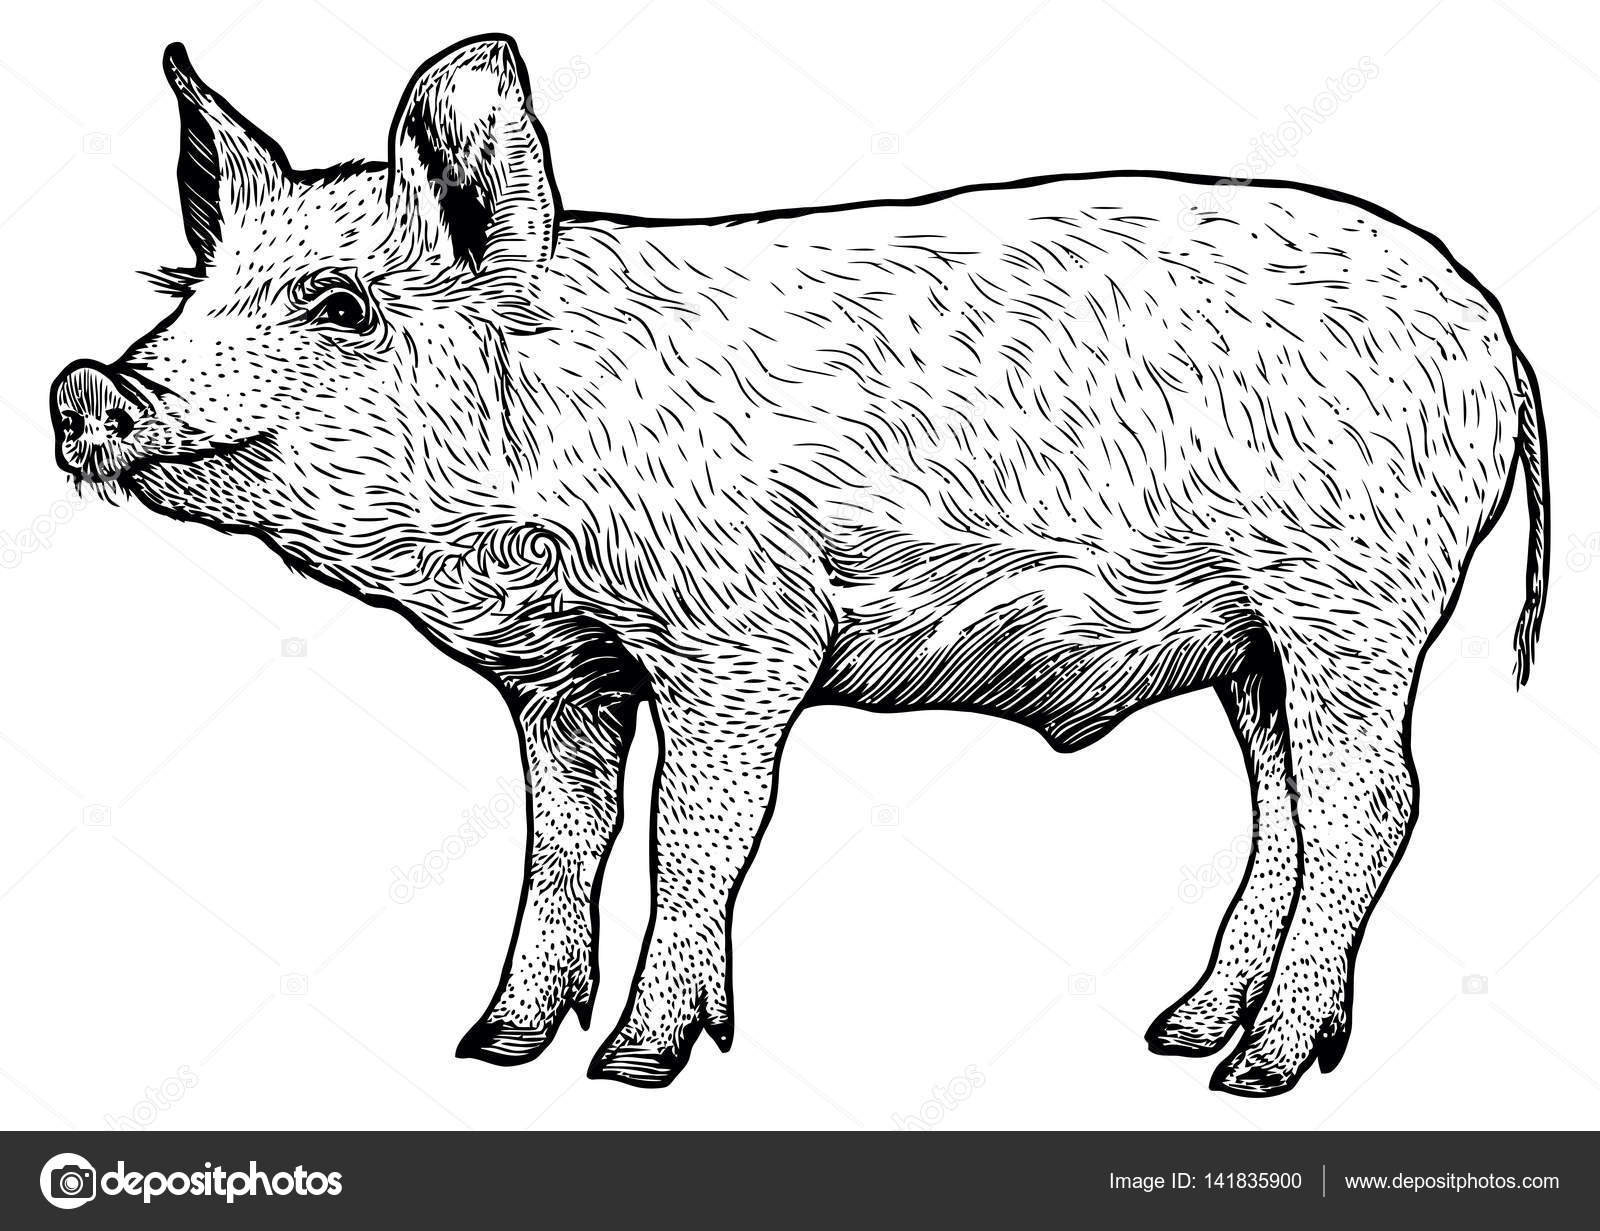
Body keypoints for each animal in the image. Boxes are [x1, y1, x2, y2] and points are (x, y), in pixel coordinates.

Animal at [51, 36, 1549, 1096]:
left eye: (343, 306)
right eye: (182, 294)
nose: (86, 387)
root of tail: (1494, 325)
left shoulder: (742, 632)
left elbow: (693, 829)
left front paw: (636, 1064)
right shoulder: (563, 671)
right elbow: (566, 835)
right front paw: (494, 1042)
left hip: (1356, 598)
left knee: (1374, 804)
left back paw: (1257, 1071)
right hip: (1257, 647)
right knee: (1285, 809)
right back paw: (1182, 1035)